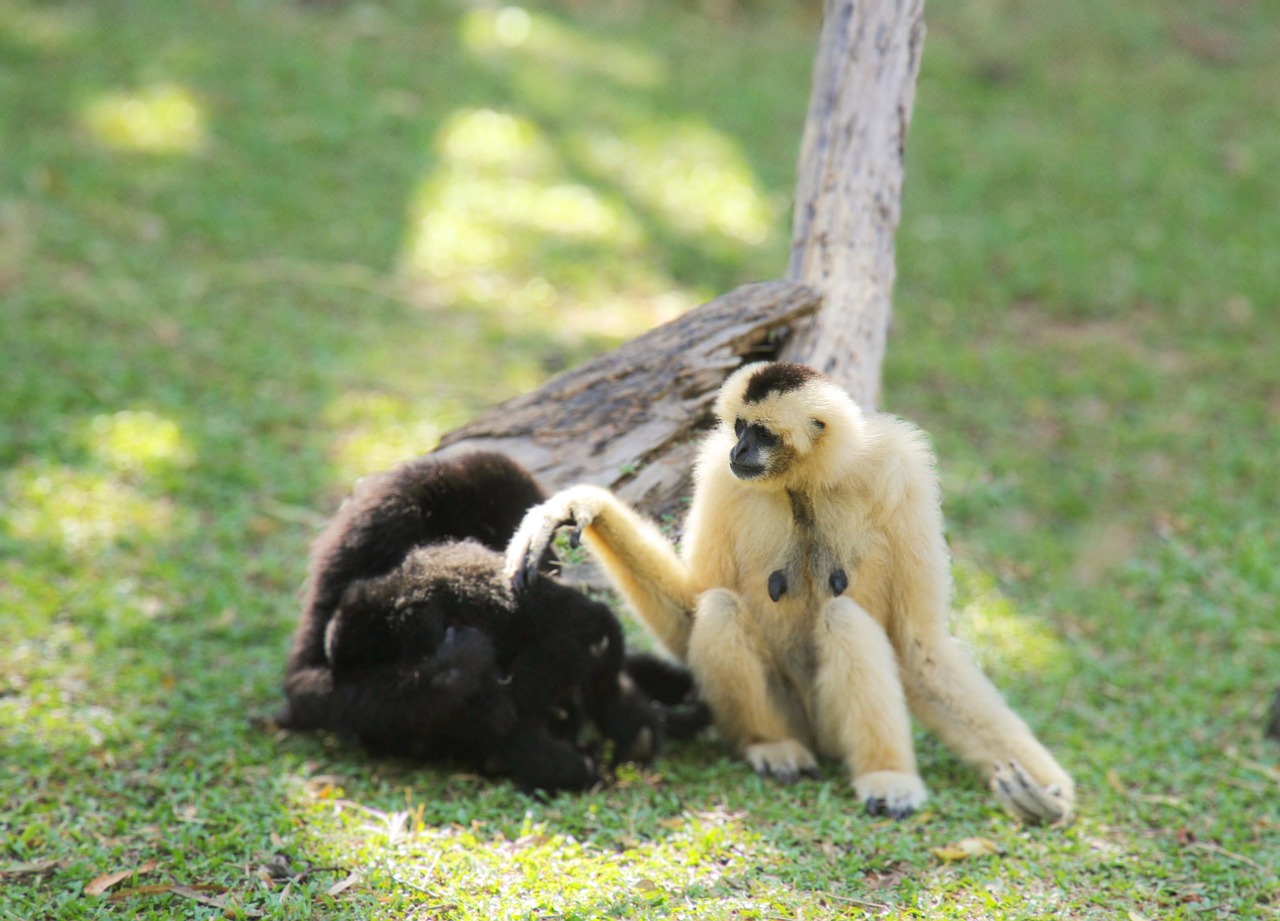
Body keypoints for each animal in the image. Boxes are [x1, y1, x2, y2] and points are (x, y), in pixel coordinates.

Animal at [506, 362, 1075, 822]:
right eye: (738, 428)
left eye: (760, 433)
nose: (738, 449)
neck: (803, 486)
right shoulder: (719, 475)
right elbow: (691, 610)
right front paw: (585, 506)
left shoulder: (901, 473)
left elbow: (918, 645)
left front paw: (1049, 792)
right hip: (791, 713)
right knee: (720, 608)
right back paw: (773, 746)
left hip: (830, 725)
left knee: (846, 618)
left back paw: (886, 775)